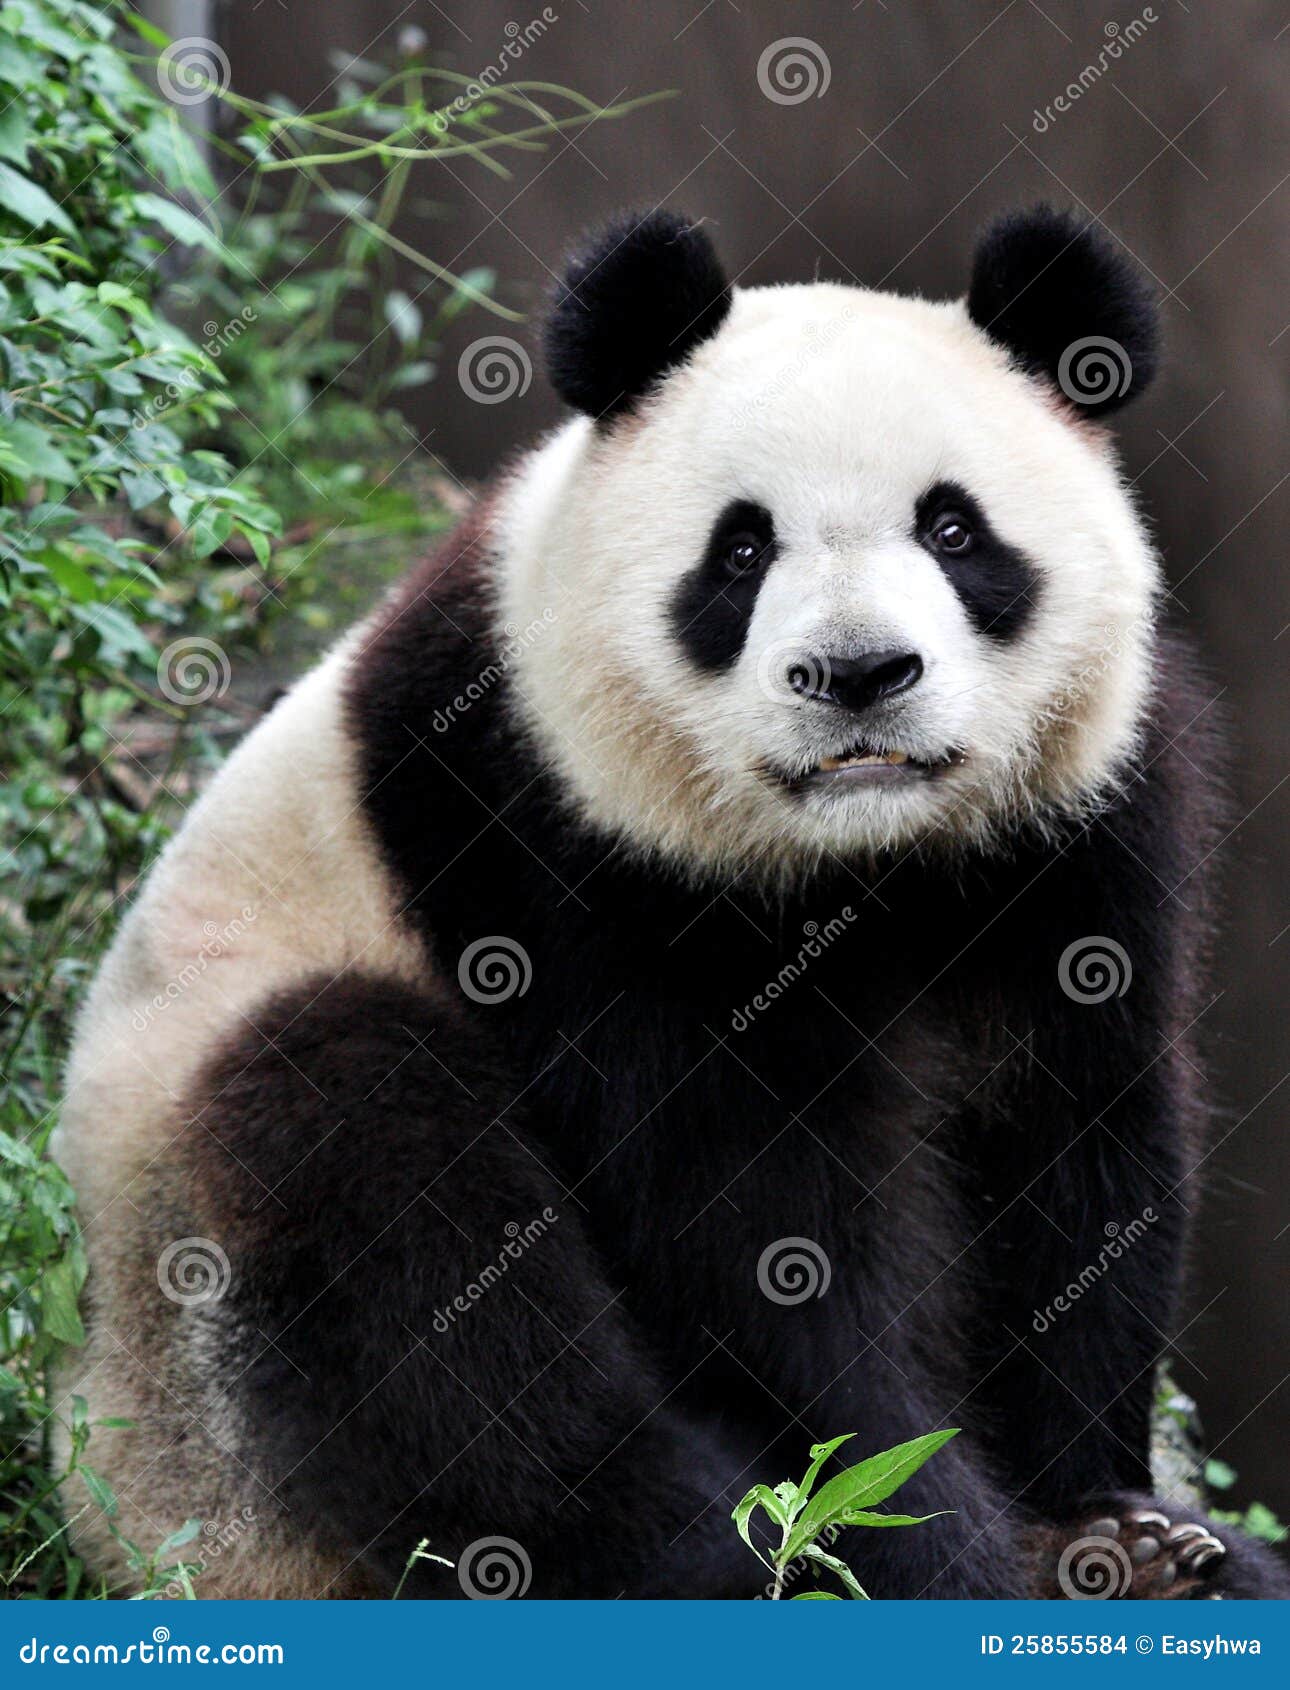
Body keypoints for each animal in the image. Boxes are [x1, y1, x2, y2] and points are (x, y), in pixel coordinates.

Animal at [53, 205, 1290, 1600]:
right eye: (741, 550)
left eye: (954, 532)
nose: (858, 675)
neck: (869, 863)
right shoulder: (572, 848)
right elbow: (750, 1229)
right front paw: (942, 1544)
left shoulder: (1077, 833)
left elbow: (1079, 1142)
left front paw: (1117, 1524)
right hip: (192, 1283)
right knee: (404, 1229)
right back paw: (734, 1554)